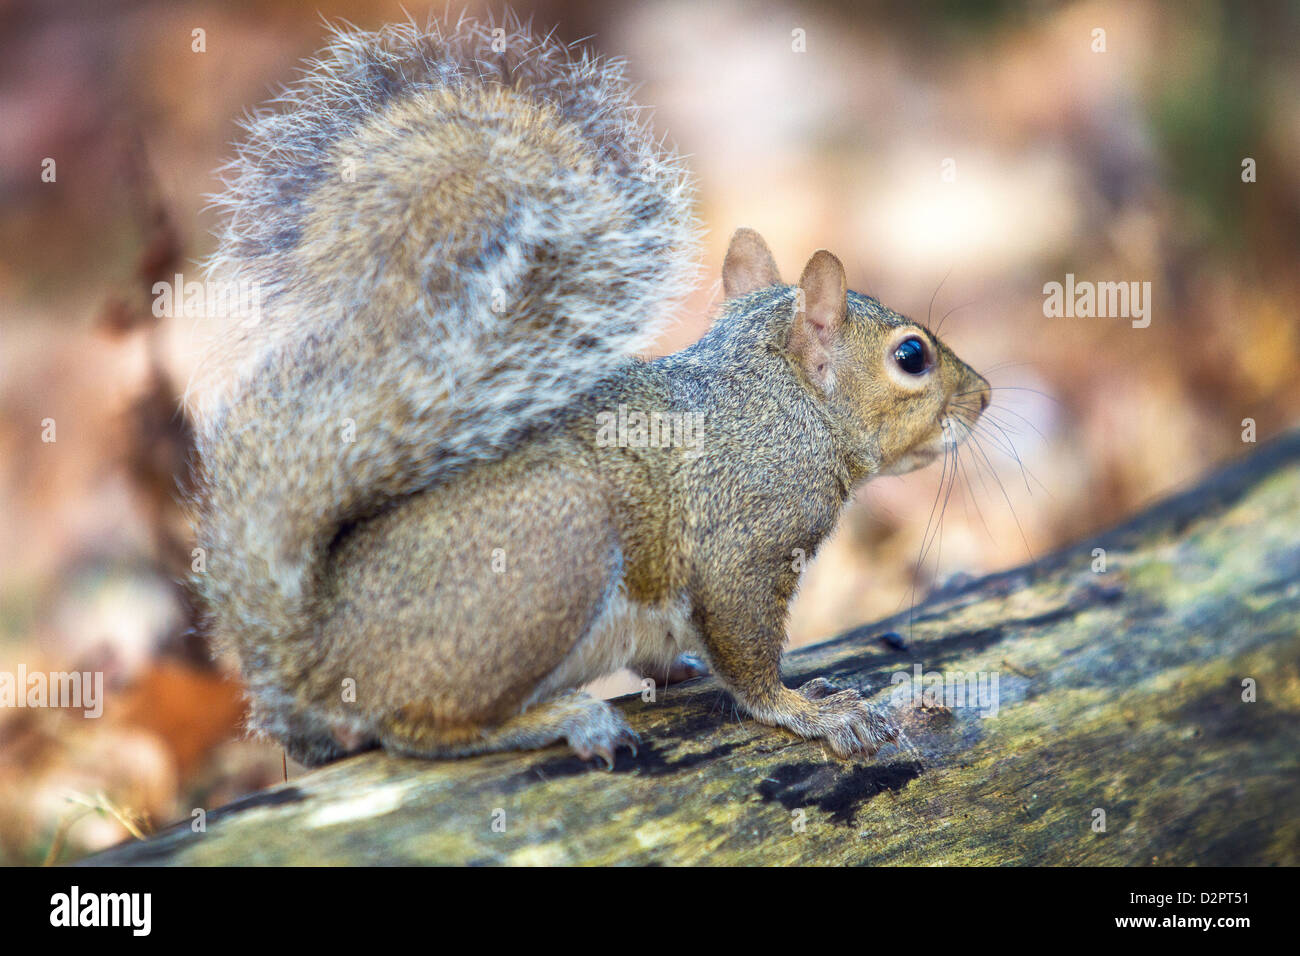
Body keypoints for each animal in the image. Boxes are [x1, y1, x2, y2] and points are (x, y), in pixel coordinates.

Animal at [191, 15, 991, 769]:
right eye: (912, 356)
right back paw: (562, 718)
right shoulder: (743, 544)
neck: (779, 404)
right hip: (556, 545)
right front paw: (811, 711)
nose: (983, 395)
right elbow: (749, 656)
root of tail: (319, 653)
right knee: (416, 728)